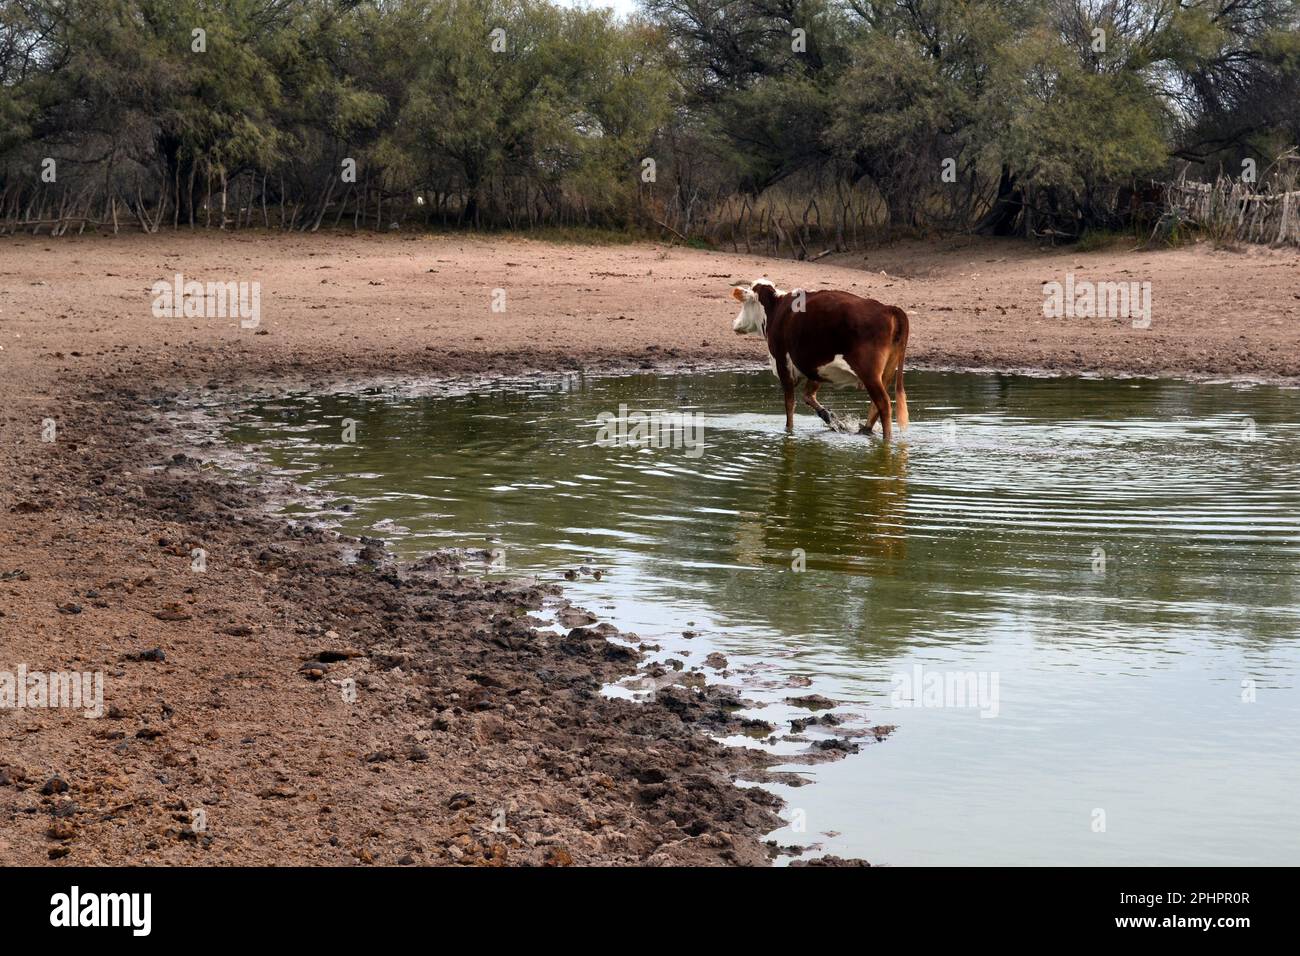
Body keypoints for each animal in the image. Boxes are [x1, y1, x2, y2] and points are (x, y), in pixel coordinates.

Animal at [730, 279, 909, 440]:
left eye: (744, 304)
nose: (735, 324)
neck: (776, 309)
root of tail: (888, 308)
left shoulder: (783, 365)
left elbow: (790, 406)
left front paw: (789, 431)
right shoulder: (816, 368)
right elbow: (808, 395)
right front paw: (831, 418)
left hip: (869, 373)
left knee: (883, 404)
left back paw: (886, 440)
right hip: (887, 371)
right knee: (875, 406)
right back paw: (864, 431)